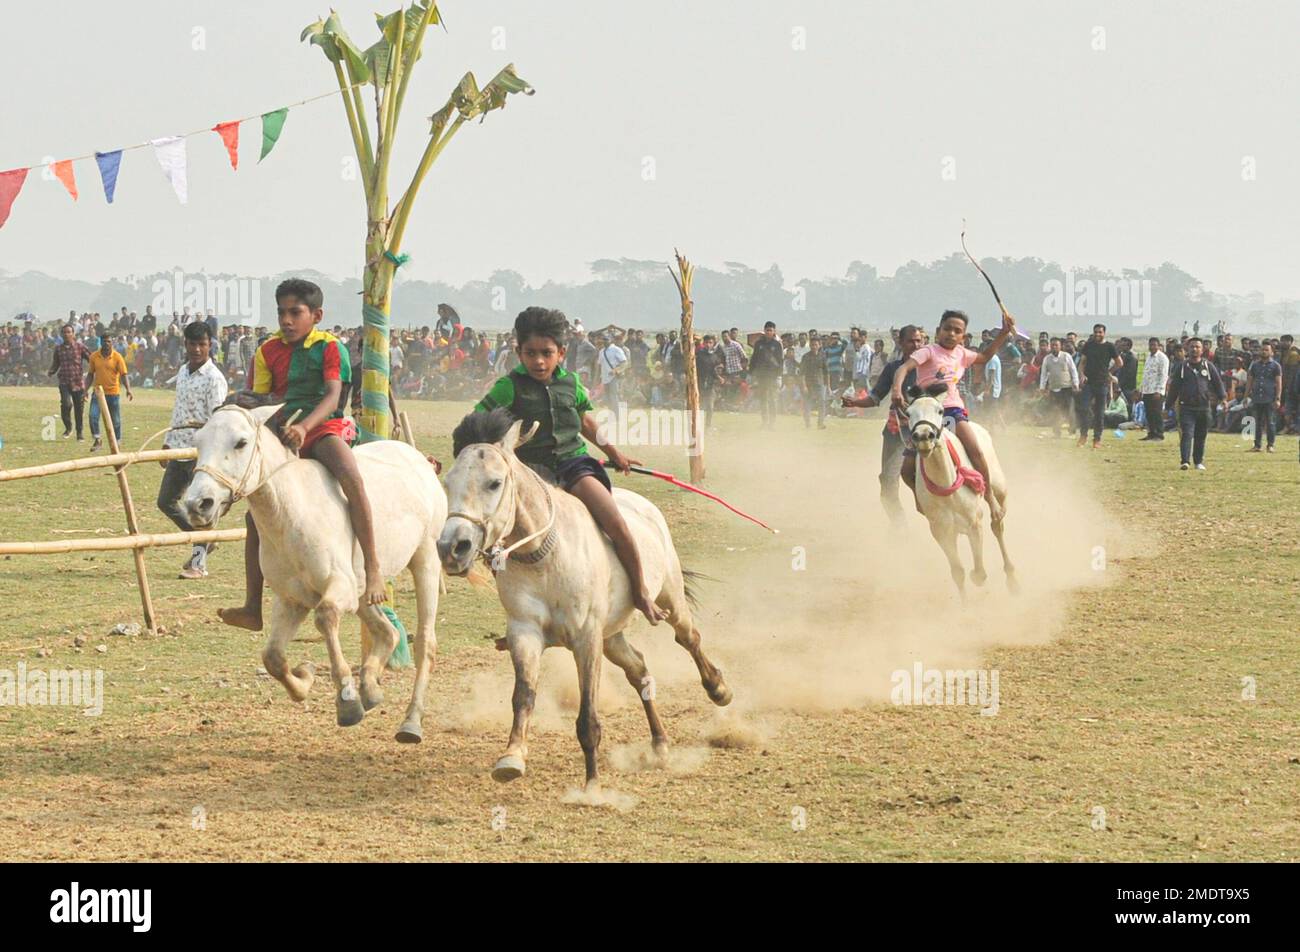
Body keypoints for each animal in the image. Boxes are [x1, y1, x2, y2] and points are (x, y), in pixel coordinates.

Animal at [180, 403, 446, 741]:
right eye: (197, 442)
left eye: (240, 442)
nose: (197, 504)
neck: (291, 513)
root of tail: (419, 460)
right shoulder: (292, 600)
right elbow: (273, 658)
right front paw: (305, 678)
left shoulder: (338, 588)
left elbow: (325, 617)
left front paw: (347, 701)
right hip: (362, 591)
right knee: (387, 631)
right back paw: (370, 687)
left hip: (425, 560)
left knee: (425, 642)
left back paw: (411, 720)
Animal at [437, 408, 732, 790]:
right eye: (448, 483)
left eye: (494, 483)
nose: (452, 548)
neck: (544, 556)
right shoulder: (525, 632)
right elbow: (524, 696)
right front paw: (512, 756)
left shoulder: (586, 638)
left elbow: (588, 715)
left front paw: (592, 784)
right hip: (612, 634)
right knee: (639, 670)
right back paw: (659, 742)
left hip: (669, 597)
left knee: (688, 637)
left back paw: (718, 688)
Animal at [903, 384, 1018, 598]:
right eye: (908, 413)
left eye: (940, 410)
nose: (923, 437)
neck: (947, 485)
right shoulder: (940, 530)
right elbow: (958, 572)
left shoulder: (975, 523)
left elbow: (979, 574)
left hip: (999, 486)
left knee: (998, 522)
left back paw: (1012, 579)